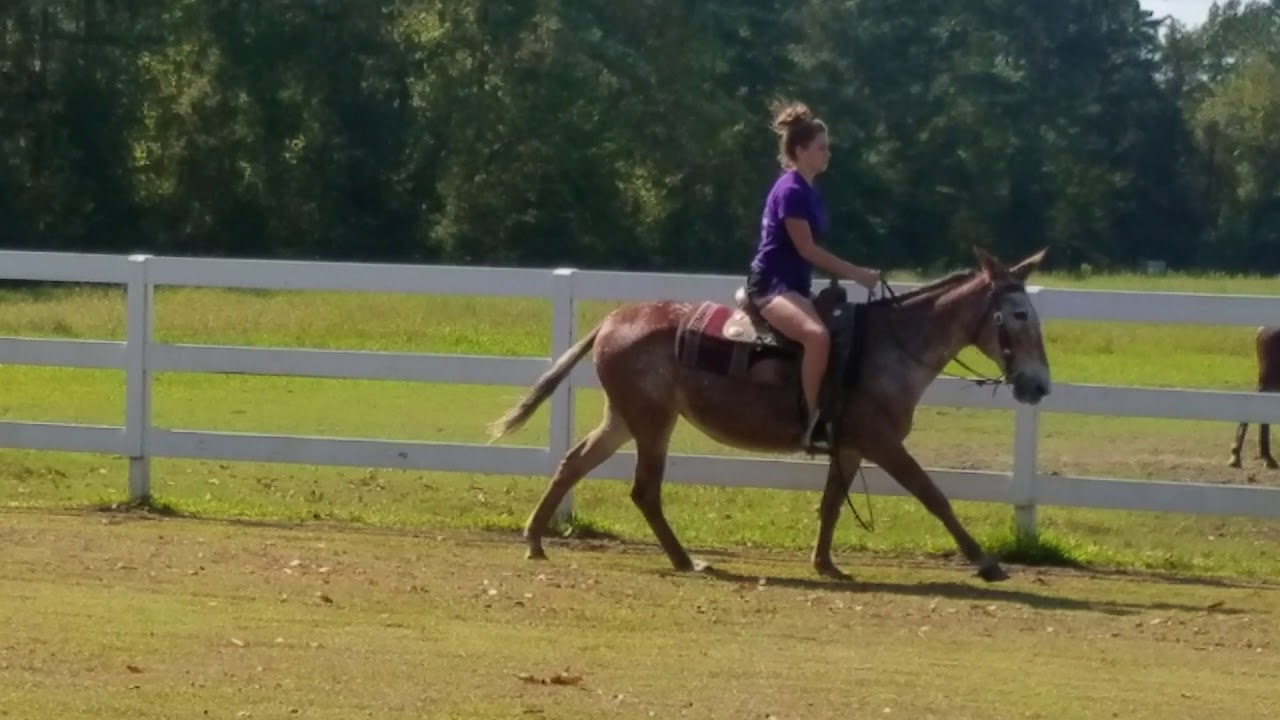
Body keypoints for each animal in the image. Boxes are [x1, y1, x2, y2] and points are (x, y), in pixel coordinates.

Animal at [488, 247, 1052, 582]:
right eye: (1018, 314)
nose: (1039, 385)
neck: (889, 347)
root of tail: (610, 321)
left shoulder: (849, 444)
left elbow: (831, 503)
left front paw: (825, 563)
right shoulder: (882, 442)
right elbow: (933, 495)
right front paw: (986, 562)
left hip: (624, 419)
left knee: (573, 462)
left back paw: (536, 540)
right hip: (652, 422)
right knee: (644, 490)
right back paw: (685, 559)